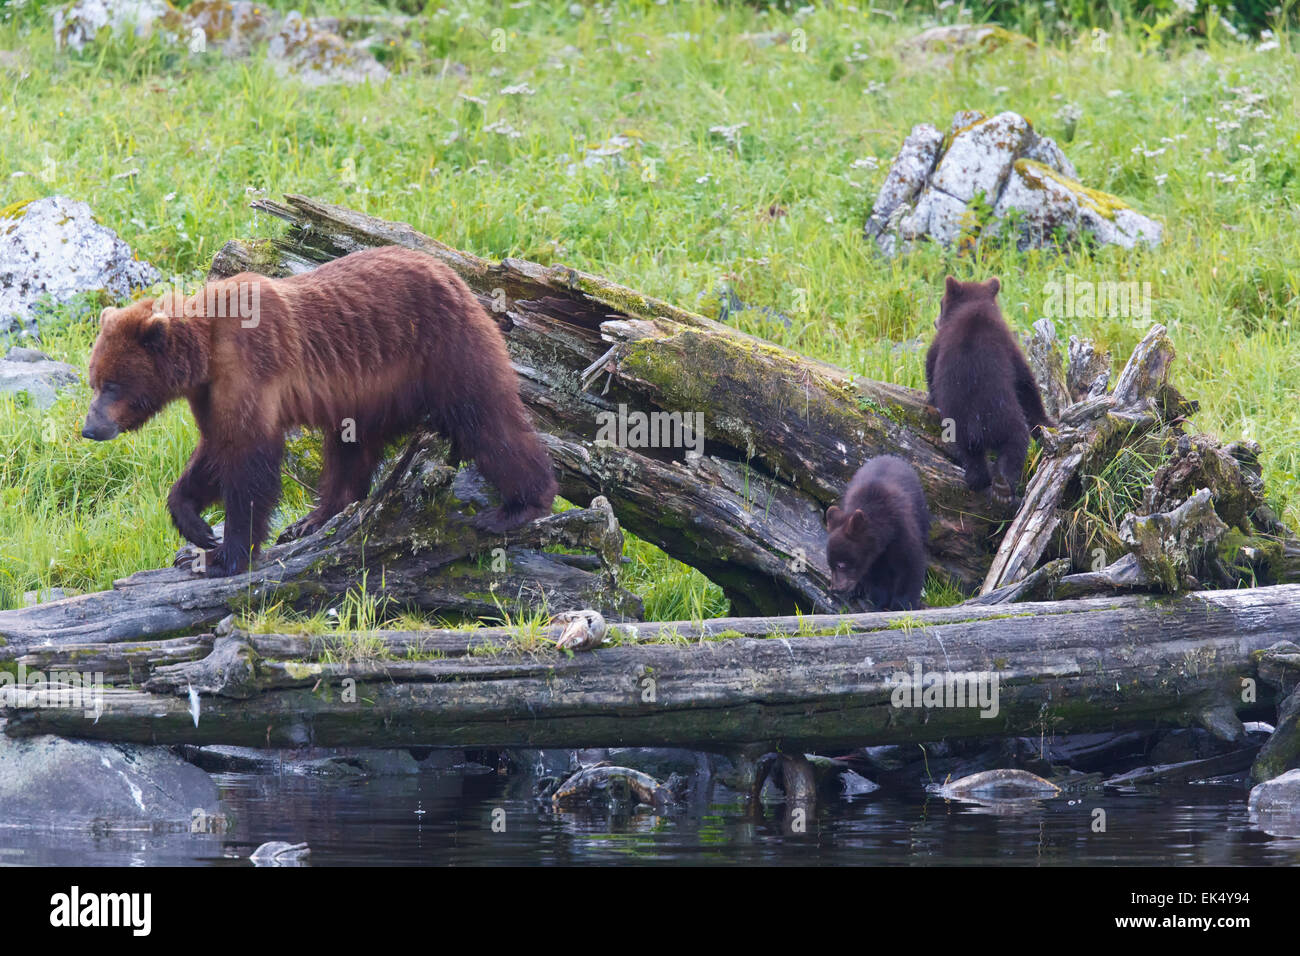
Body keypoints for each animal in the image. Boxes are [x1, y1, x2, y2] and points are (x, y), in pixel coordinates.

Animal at [82, 245, 557, 577]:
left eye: (113, 384)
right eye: (94, 379)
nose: (90, 427)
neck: (206, 354)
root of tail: (454, 274)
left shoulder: (250, 369)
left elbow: (248, 461)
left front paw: (224, 555)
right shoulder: (211, 393)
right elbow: (215, 450)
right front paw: (196, 528)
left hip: (444, 350)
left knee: (487, 421)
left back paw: (520, 505)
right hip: (368, 396)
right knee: (350, 452)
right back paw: (313, 520)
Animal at [825, 455, 931, 611]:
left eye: (841, 564)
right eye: (830, 564)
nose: (836, 588)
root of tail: (889, 456)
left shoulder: (901, 532)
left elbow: (910, 565)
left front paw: (901, 604)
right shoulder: (871, 557)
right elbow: (877, 577)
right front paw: (880, 601)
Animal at [924, 276, 1053, 499]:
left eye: (940, 303)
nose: (935, 321)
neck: (975, 308)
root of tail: (979, 424)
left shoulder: (941, 343)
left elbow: (931, 368)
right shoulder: (1008, 344)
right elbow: (1026, 383)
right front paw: (1045, 422)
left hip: (959, 425)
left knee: (971, 455)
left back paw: (978, 480)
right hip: (1007, 421)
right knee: (1016, 444)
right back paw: (1003, 484)